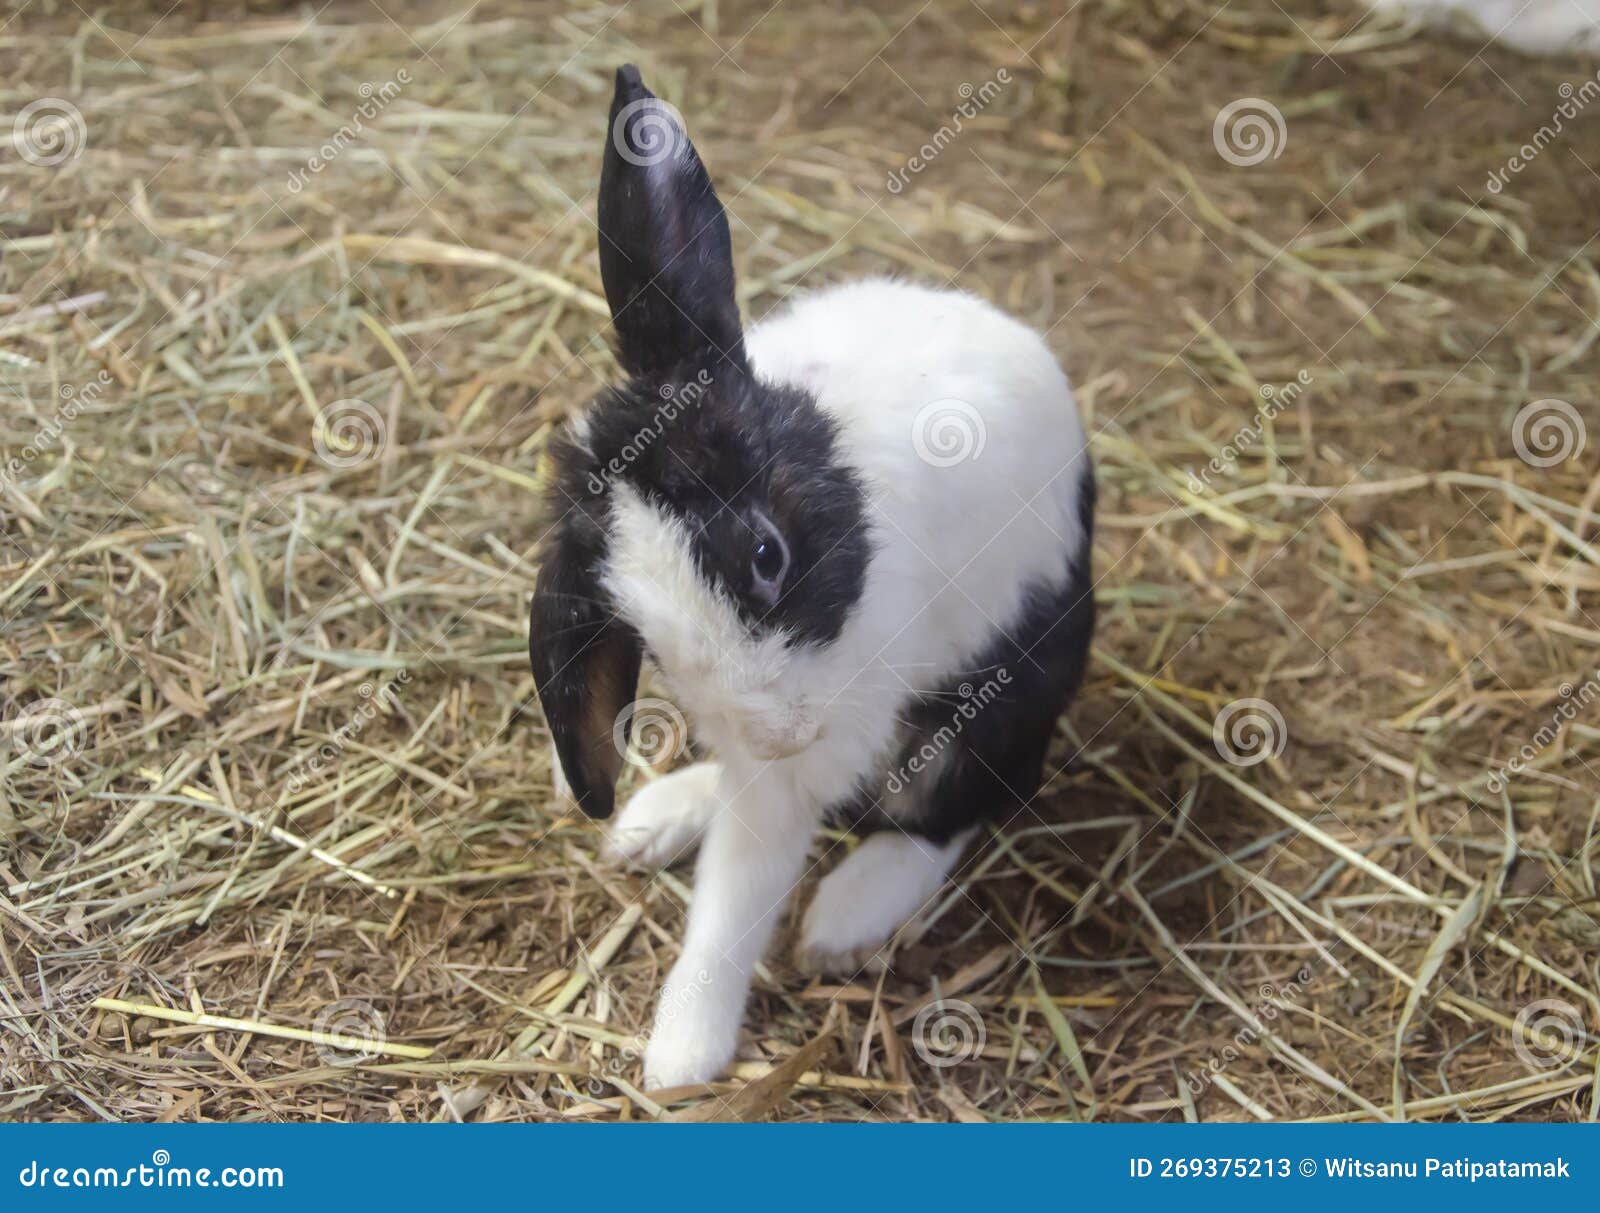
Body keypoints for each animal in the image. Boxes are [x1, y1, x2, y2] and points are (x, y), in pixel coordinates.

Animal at [528, 64, 1095, 1090]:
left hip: (1003, 690)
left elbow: (741, 888)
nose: (785, 732)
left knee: (958, 804)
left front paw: (680, 1057)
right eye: (647, 640)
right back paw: (658, 817)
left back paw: (845, 914)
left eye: (767, 556)